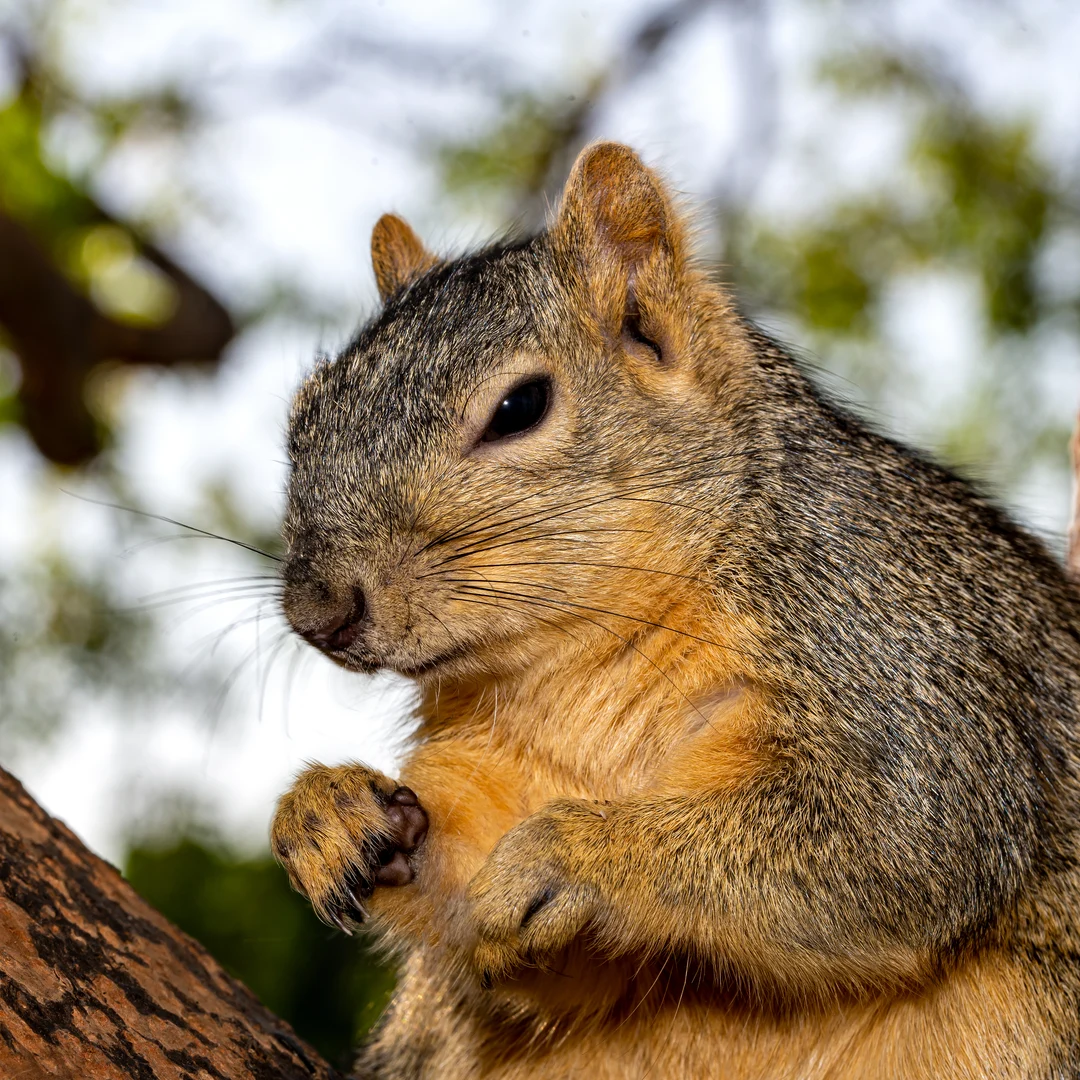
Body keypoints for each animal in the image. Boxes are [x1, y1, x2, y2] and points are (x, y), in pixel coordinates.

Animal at [270, 142, 1080, 1079]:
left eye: (519, 408)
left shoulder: (894, 653)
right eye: (301, 419)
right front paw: (326, 812)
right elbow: (521, 966)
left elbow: (897, 839)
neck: (579, 657)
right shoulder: (497, 763)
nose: (317, 611)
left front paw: (570, 852)